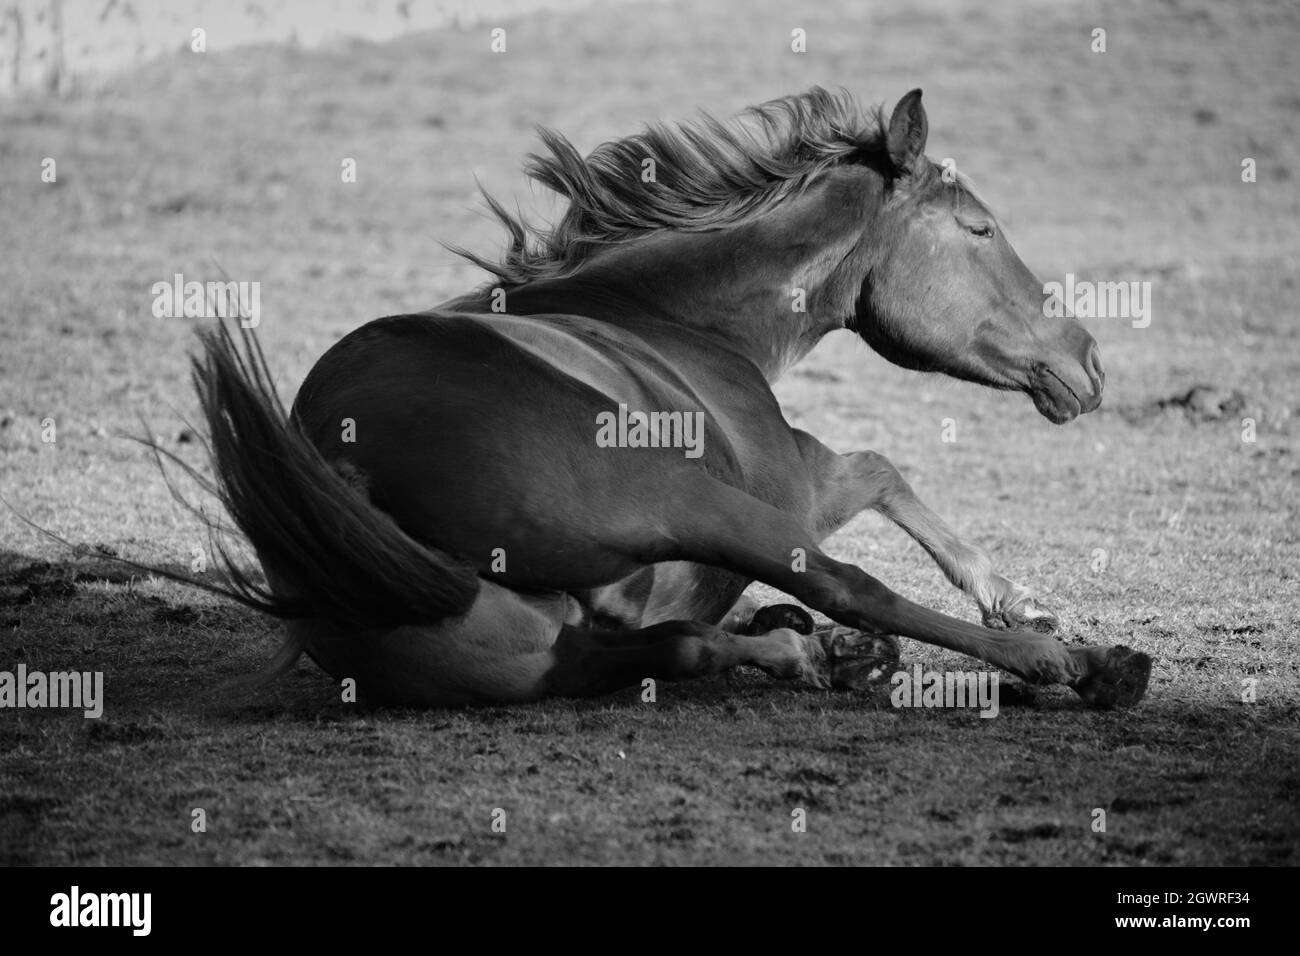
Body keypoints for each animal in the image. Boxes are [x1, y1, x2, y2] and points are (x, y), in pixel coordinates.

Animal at [184, 86, 1150, 709]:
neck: (666, 312)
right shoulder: (795, 485)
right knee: (849, 588)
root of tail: (342, 470)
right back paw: (1068, 664)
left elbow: (878, 478)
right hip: (690, 501)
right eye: (979, 229)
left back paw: (809, 652)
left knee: (679, 646)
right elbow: (880, 475)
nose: (1089, 360)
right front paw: (1026, 612)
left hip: (550, 657)